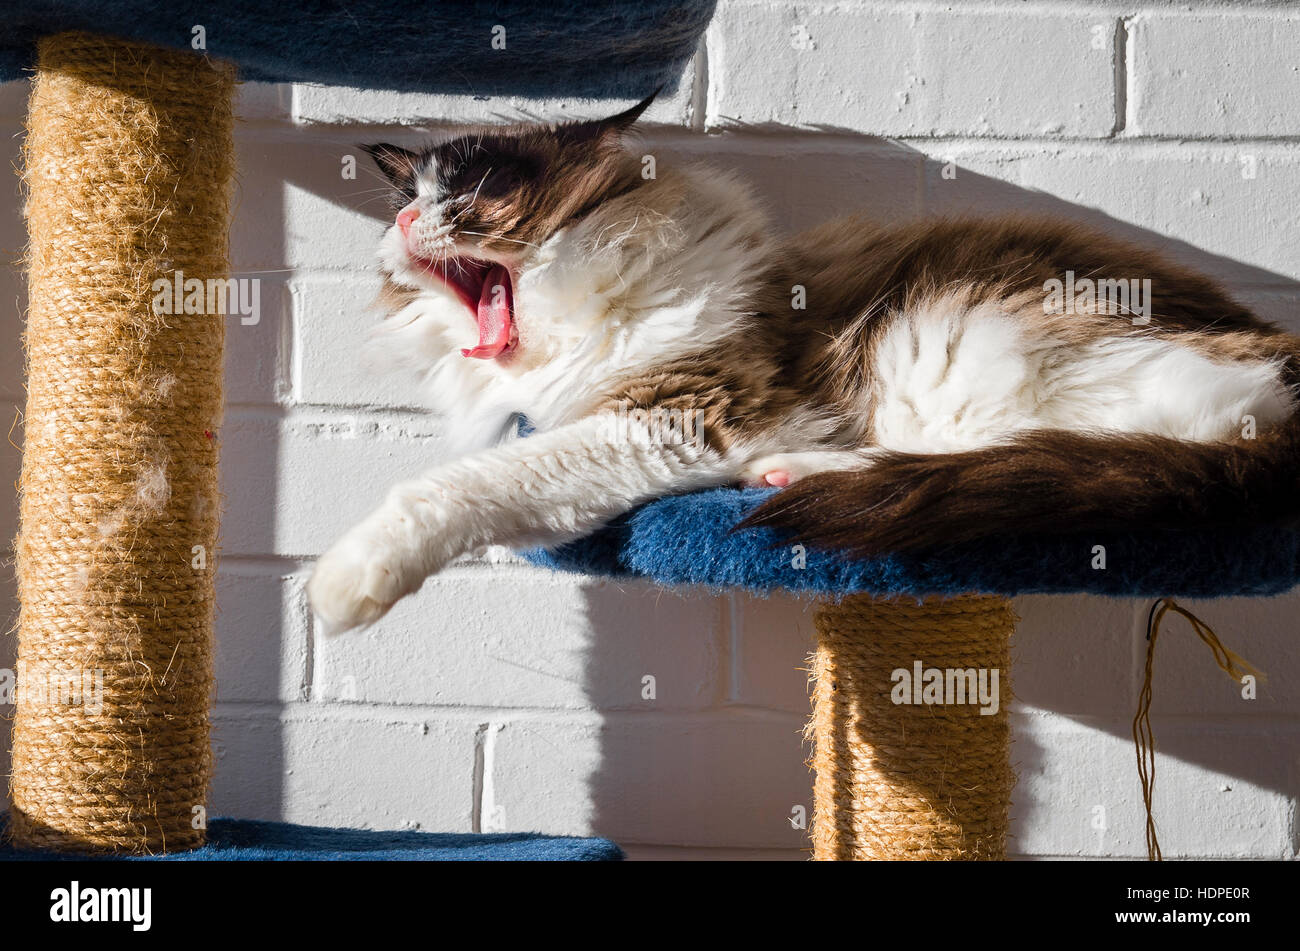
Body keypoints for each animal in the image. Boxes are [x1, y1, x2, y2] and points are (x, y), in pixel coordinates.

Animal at [301, 92, 1300, 634]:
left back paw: (798, 476)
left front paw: (343, 582)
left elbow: (465, 483)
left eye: (466, 194)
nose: (403, 220)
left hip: (954, 337)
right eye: (407, 194)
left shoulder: (678, 414)